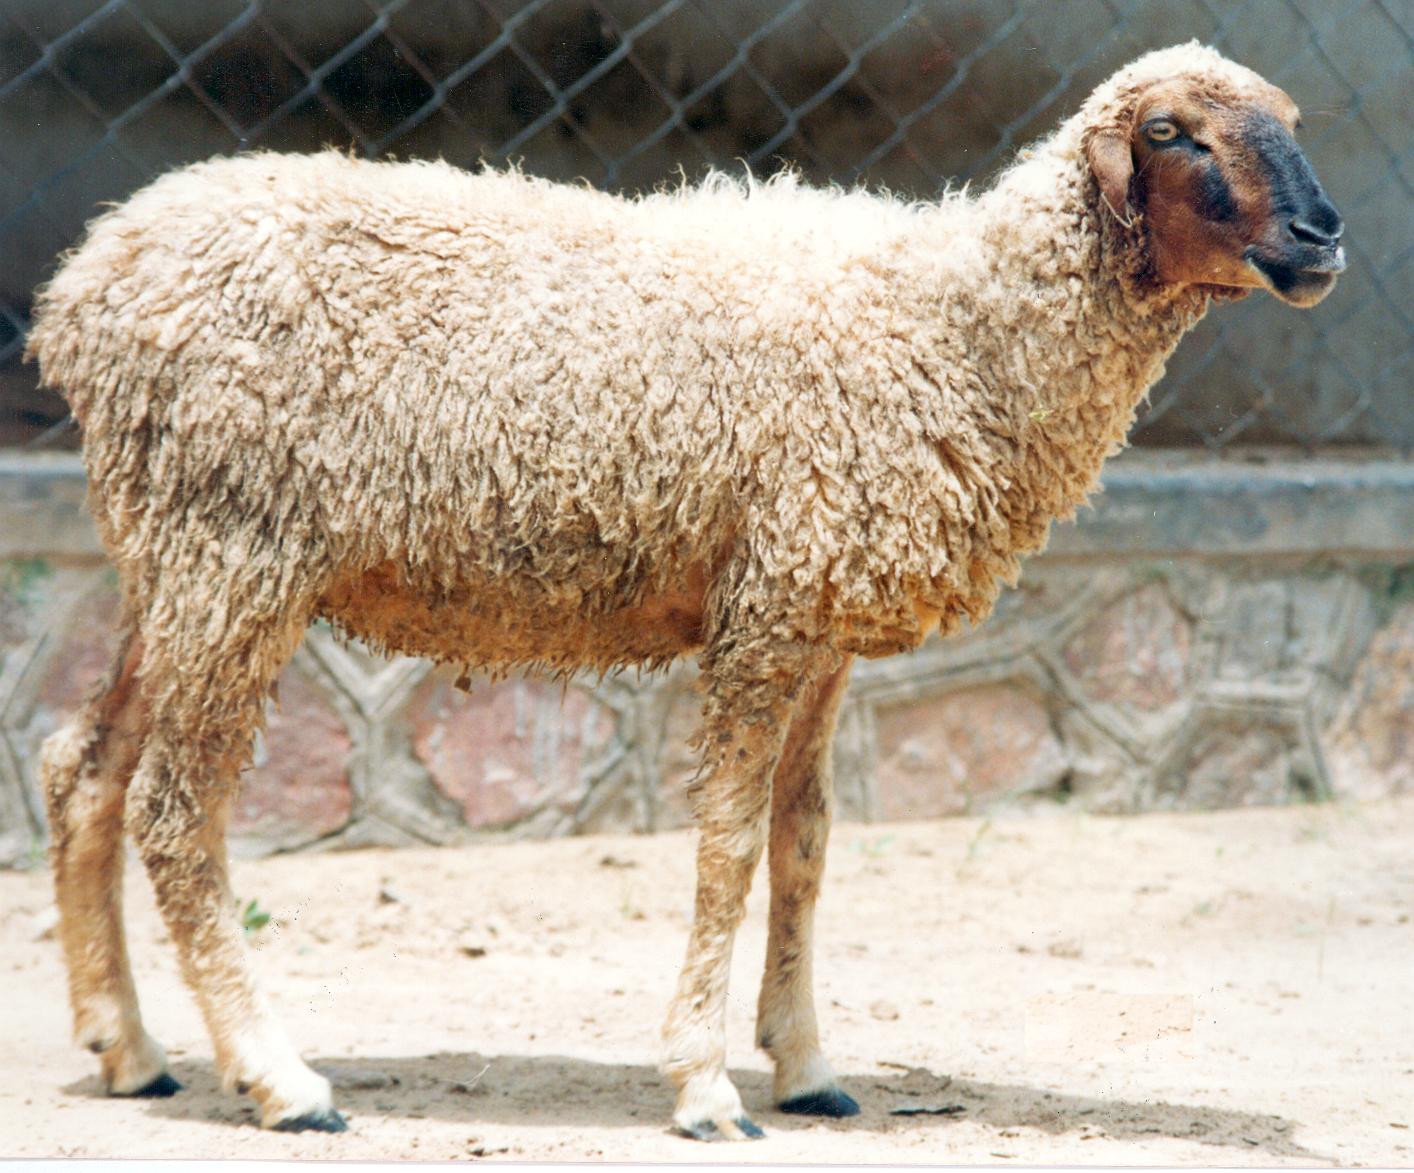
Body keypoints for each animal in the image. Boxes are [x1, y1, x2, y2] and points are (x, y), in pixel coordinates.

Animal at [26, 41, 1344, 1141]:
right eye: (1173, 133)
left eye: (1287, 122)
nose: (1323, 235)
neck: (955, 326)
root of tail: (86, 280)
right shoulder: (762, 616)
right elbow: (725, 844)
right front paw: (706, 1086)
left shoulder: (818, 616)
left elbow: (805, 841)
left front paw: (806, 1067)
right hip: (235, 550)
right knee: (176, 814)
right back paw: (278, 1079)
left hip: (170, 557)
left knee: (81, 767)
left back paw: (129, 1049)